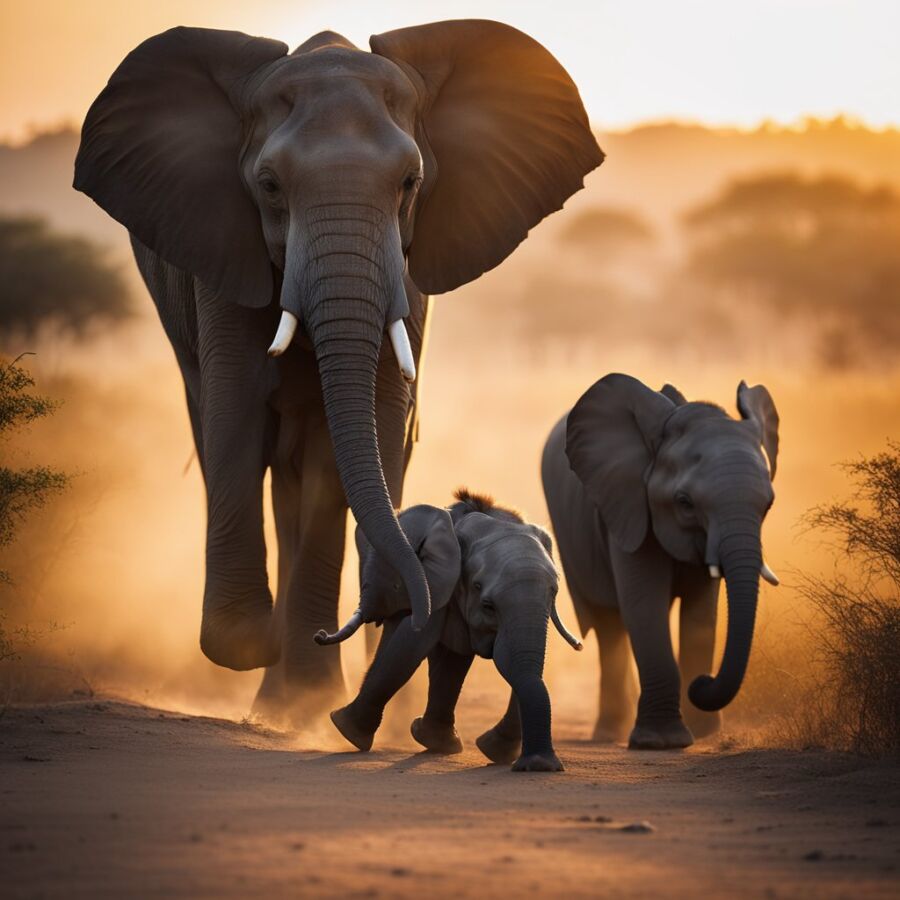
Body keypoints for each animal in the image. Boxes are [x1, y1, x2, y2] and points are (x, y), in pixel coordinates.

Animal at [72, 21, 602, 722]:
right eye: (269, 185)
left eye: (410, 183)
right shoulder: (222, 253)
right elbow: (236, 417)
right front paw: (255, 643)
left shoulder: (406, 274)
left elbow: (344, 448)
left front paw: (309, 693)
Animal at [315, 490, 583, 771]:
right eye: (486, 603)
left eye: (554, 594)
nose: (320, 635)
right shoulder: (438, 581)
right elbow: (414, 641)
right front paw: (347, 730)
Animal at [533, 374, 779, 749]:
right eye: (685, 502)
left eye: (768, 504)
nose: (702, 683)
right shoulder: (630, 504)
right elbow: (644, 603)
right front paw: (662, 742)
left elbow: (701, 612)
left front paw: (703, 734)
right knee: (608, 625)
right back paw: (610, 733)